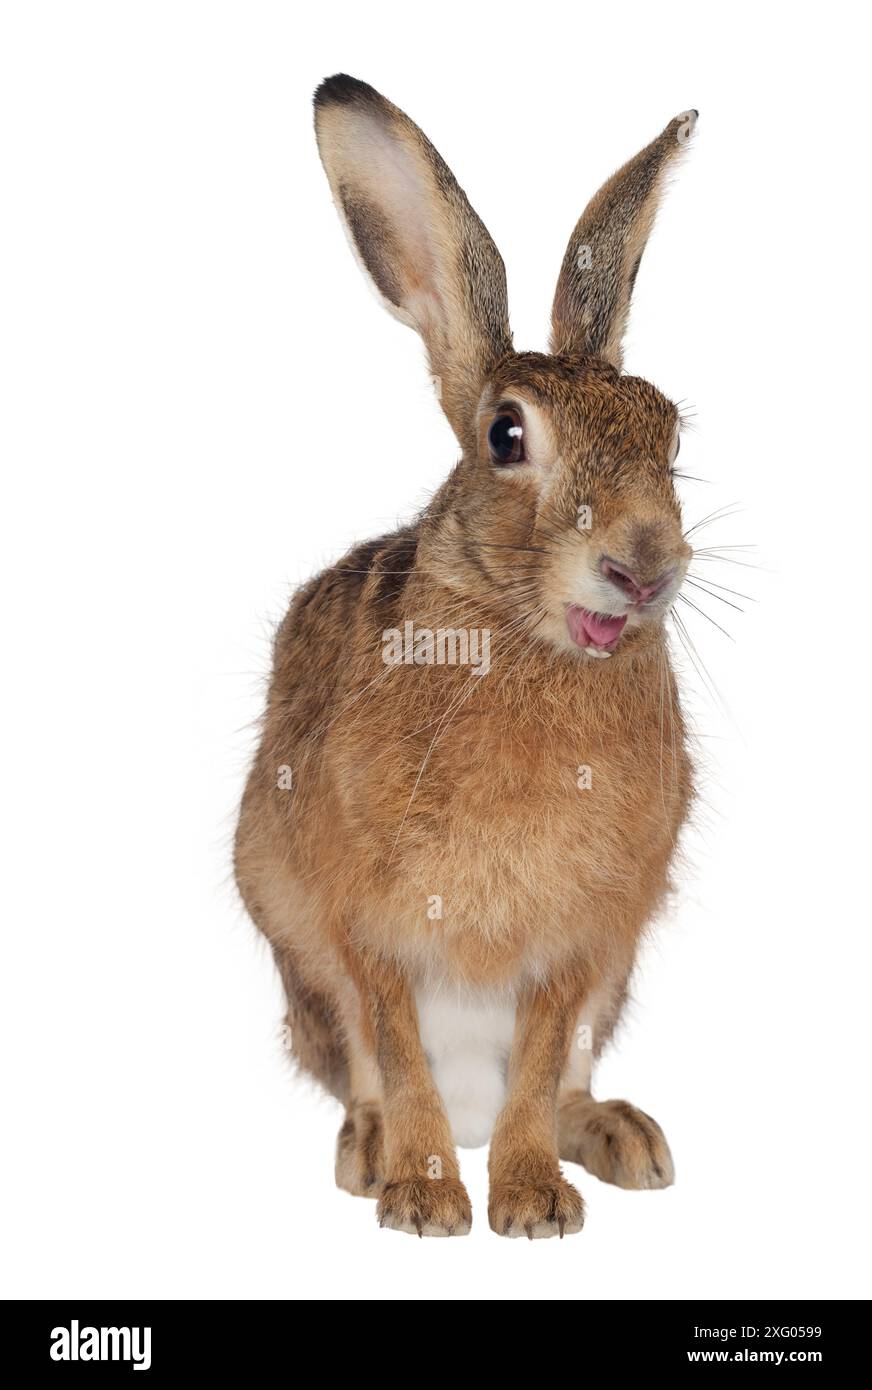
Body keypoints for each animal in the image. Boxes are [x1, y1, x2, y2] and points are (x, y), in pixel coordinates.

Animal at [235, 73, 698, 1238]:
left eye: (670, 439)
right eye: (505, 436)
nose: (644, 564)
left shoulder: (576, 946)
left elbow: (537, 1060)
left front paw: (531, 1201)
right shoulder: (368, 930)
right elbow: (398, 1049)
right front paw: (425, 1198)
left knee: (564, 1077)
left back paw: (617, 1138)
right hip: (297, 952)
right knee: (364, 1069)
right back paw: (372, 1152)